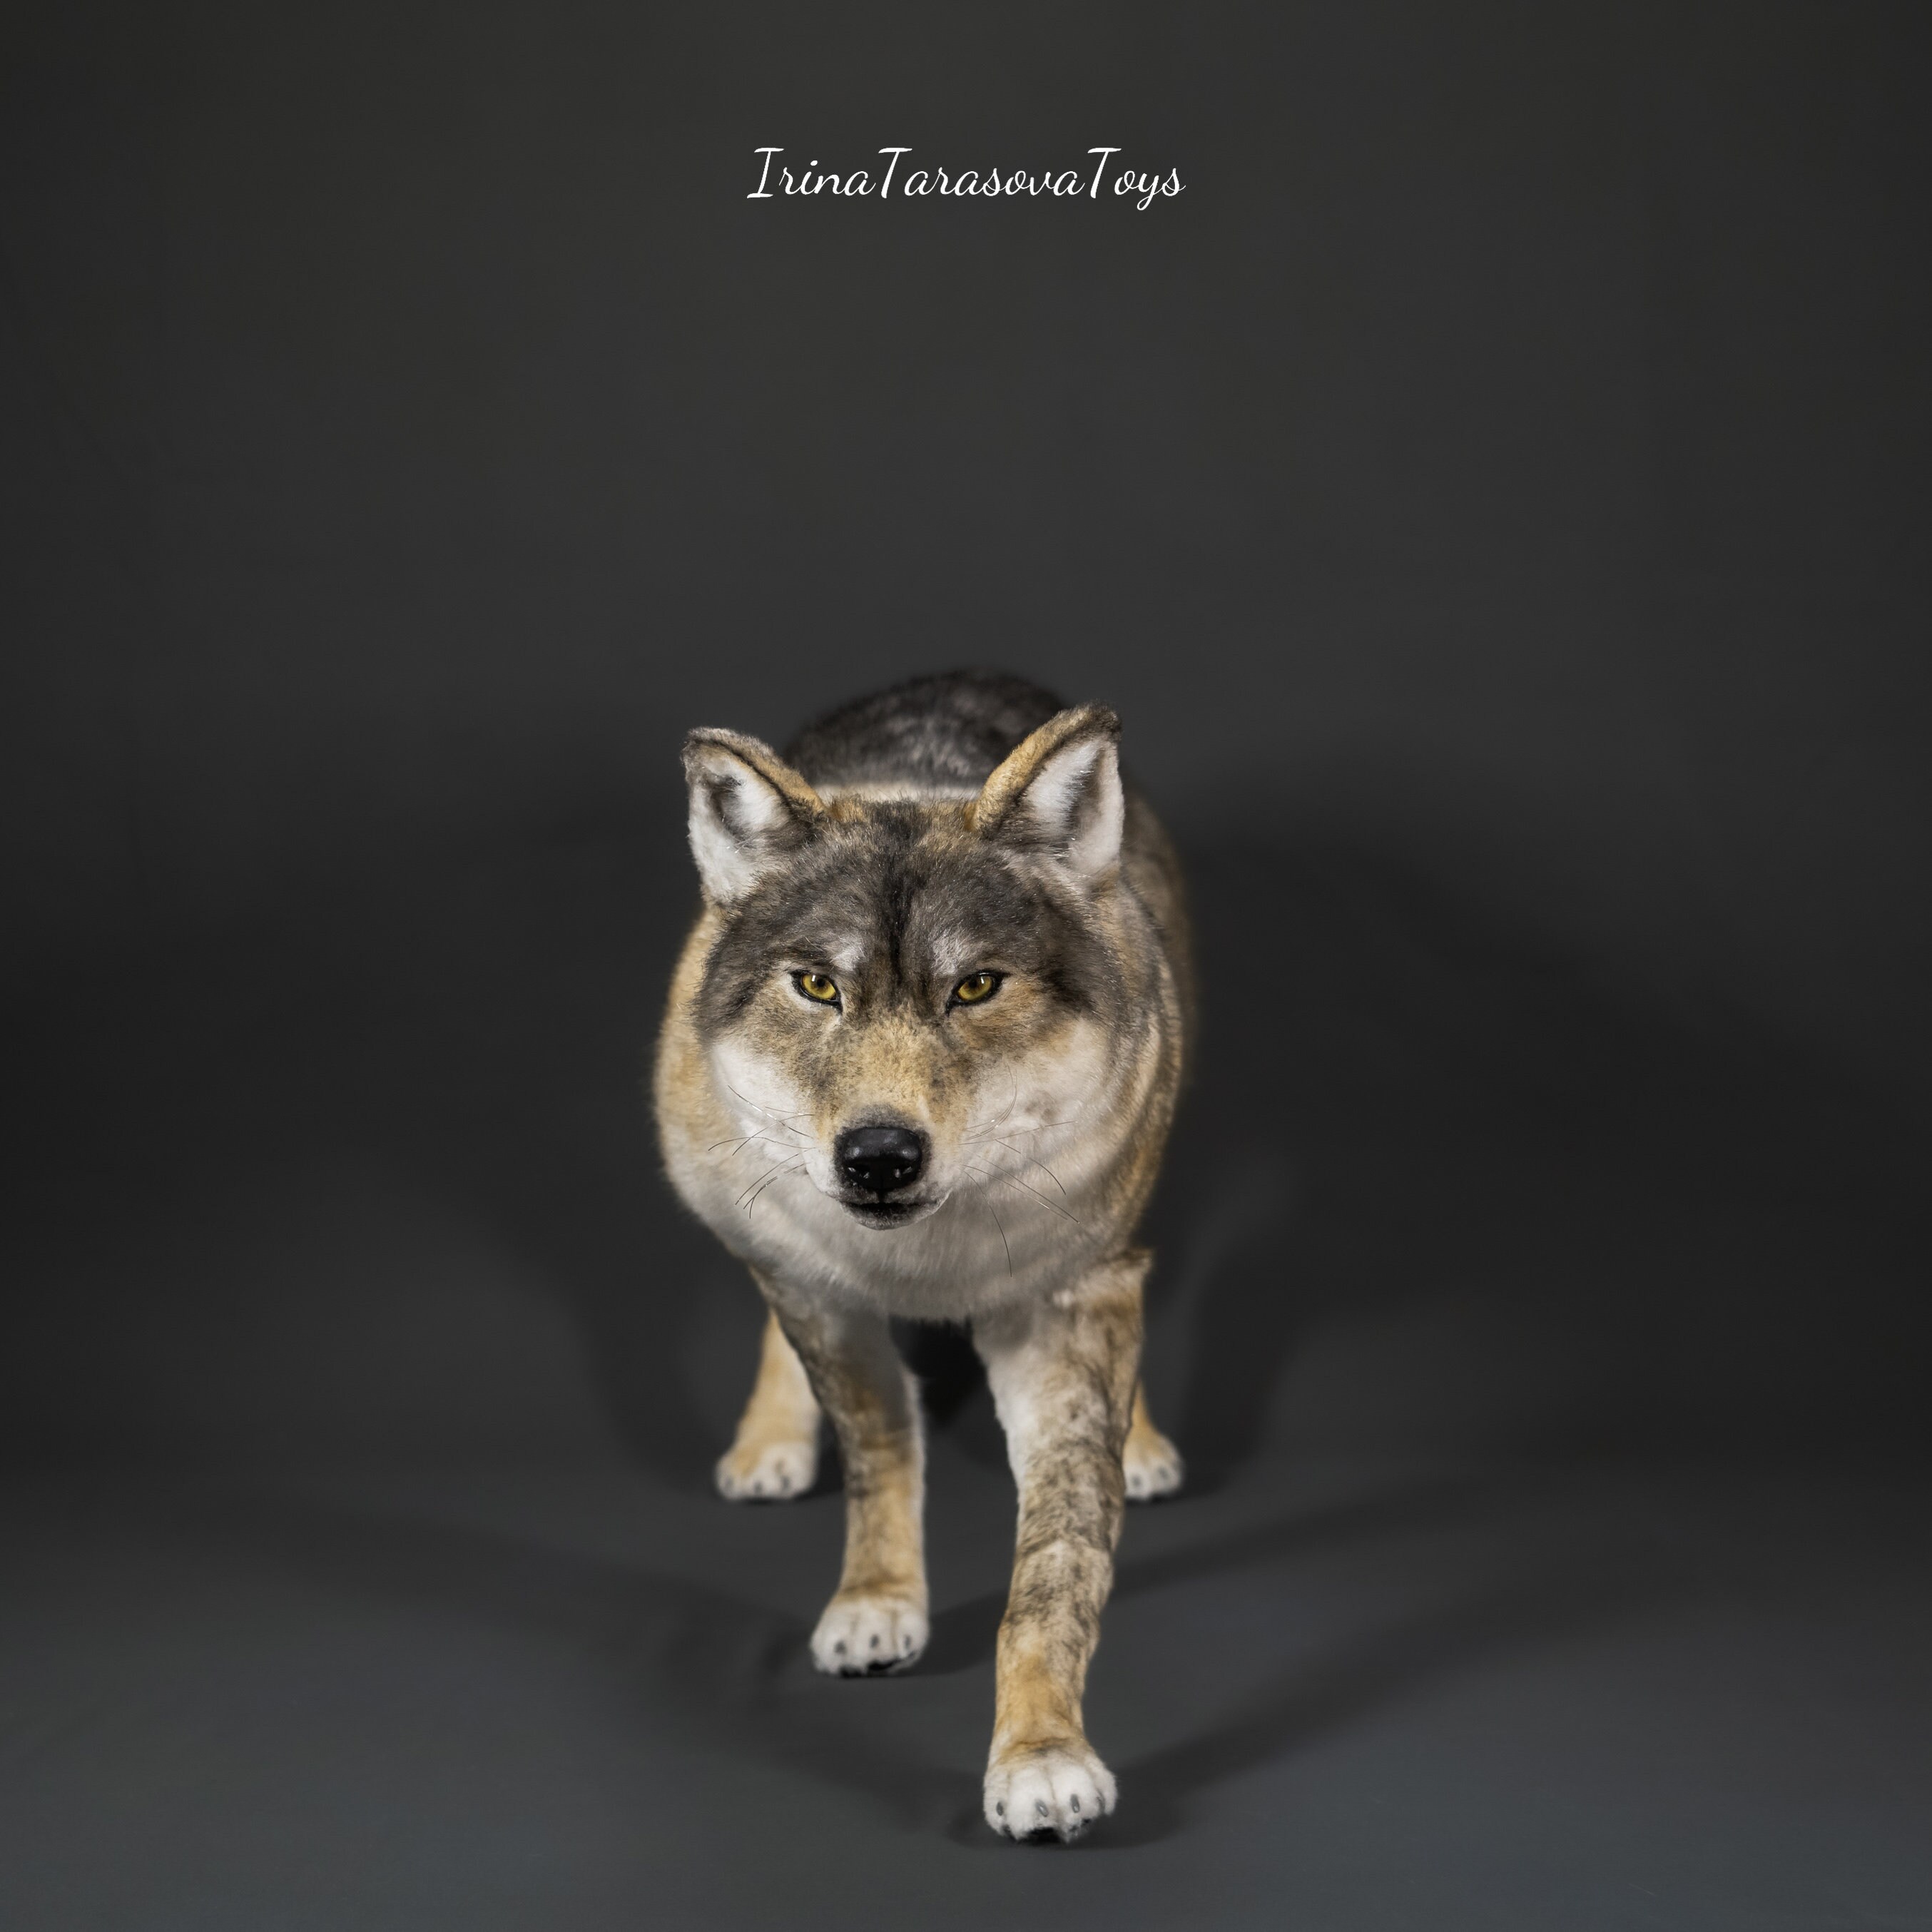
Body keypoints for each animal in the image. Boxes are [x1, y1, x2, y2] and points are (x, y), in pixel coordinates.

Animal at [653, 671, 1190, 1841]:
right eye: (817, 987)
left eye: (974, 988)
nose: (878, 1157)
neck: (928, 1266)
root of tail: (957, 676)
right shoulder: (817, 1291)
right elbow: (880, 1448)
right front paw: (877, 1601)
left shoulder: (1070, 1307)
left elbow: (1054, 1568)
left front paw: (1041, 1757)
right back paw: (768, 1444)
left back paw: (1144, 1443)